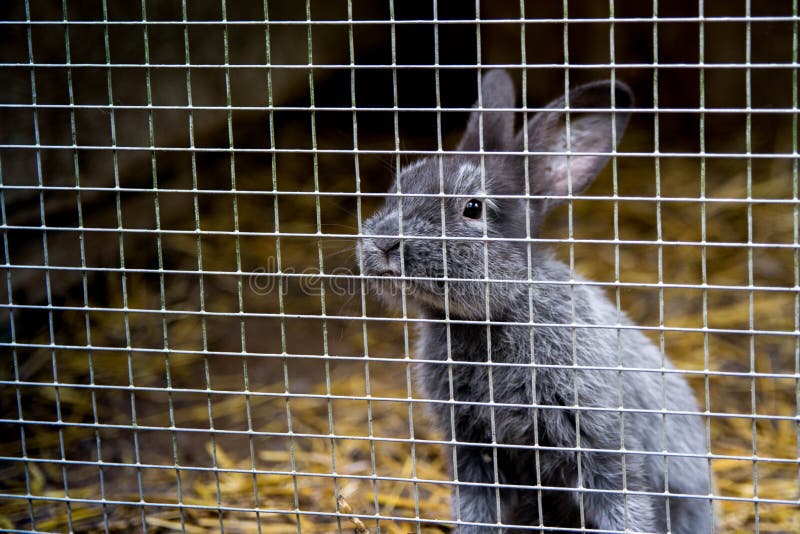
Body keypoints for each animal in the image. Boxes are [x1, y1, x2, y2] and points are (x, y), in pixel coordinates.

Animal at [359, 70, 713, 533]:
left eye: (473, 207)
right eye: (398, 189)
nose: (384, 243)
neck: (489, 319)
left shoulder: (599, 445)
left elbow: (624, 506)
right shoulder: (472, 453)